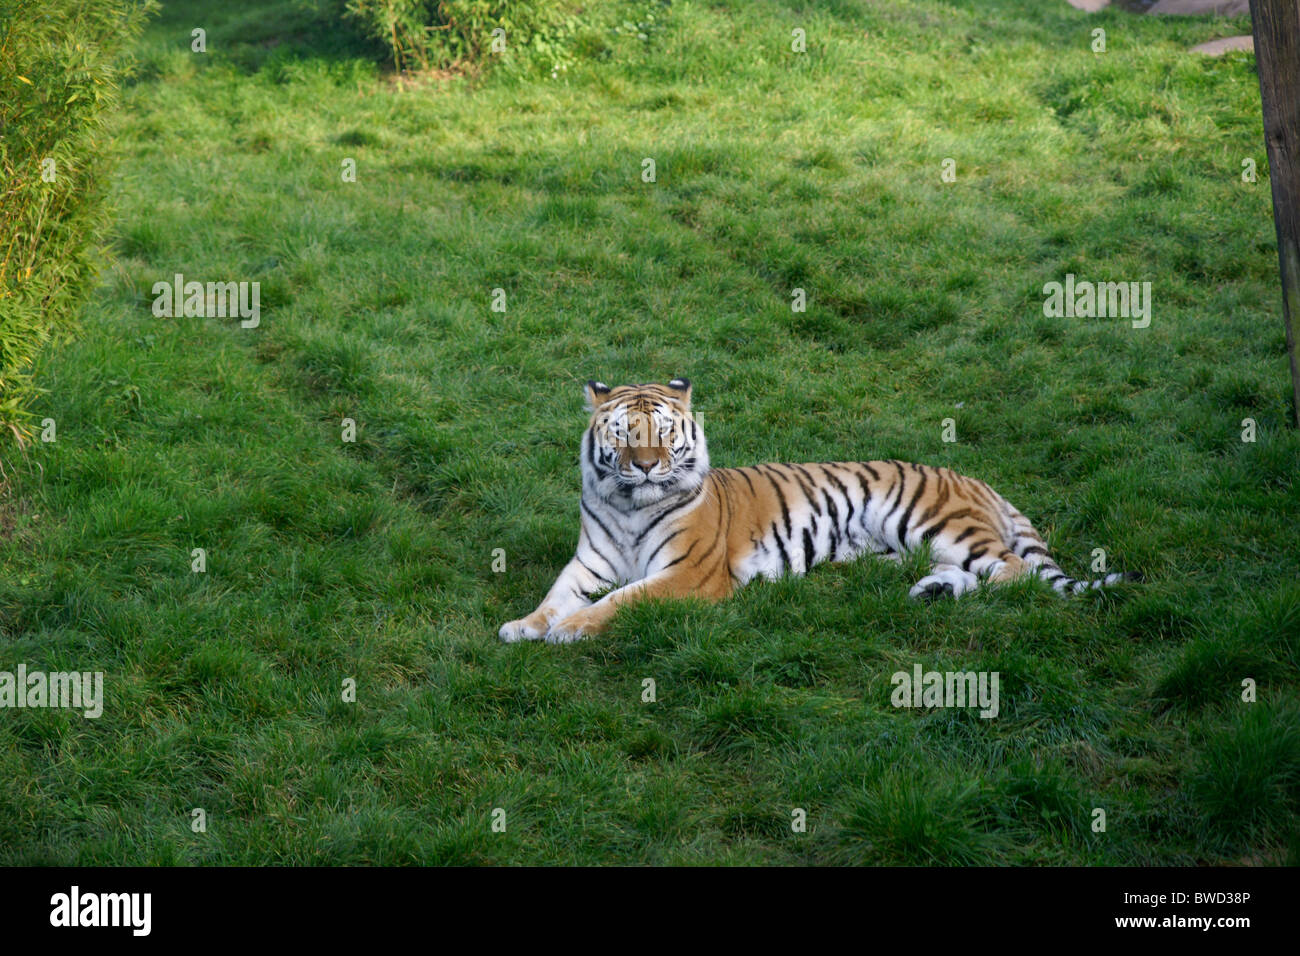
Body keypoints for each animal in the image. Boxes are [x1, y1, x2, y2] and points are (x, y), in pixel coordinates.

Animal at [498, 378, 1136, 644]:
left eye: (664, 432)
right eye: (623, 433)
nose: (649, 466)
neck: (632, 504)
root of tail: (975, 478)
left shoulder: (688, 575)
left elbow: (621, 601)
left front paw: (569, 629)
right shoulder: (588, 566)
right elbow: (554, 594)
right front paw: (524, 625)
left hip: (933, 522)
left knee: (1016, 573)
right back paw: (927, 590)